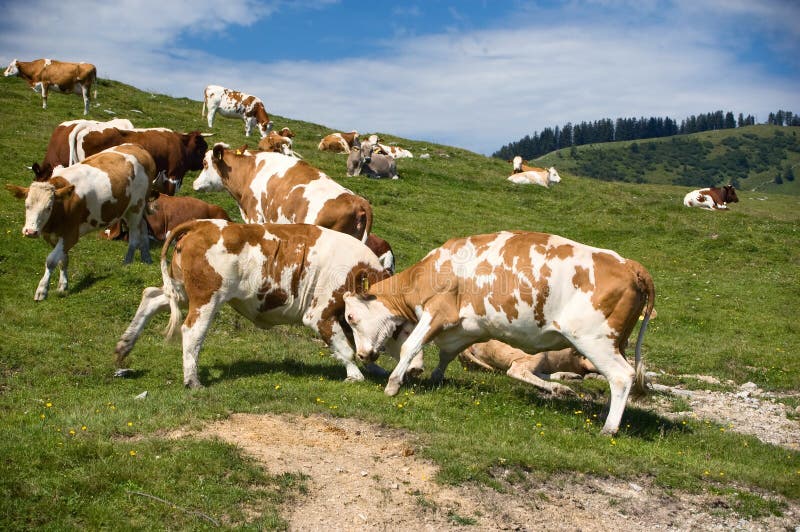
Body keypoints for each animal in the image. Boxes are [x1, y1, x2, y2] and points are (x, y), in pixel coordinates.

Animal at [5, 144, 156, 301]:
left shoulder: (71, 235)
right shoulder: (53, 236)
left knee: (134, 236)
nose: (30, 231)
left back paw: (127, 262)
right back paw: (146, 257)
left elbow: (51, 260)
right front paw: (63, 285)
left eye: (48, 207)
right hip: (125, 209)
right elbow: (63, 260)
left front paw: (42, 289)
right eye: (26, 205)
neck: (62, 207)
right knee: (143, 227)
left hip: (136, 207)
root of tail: (137, 147)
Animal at [114, 221, 393, 387]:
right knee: (191, 332)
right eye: (357, 317)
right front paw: (355, 374)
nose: (371, 354)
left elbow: (352, 342)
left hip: (182, 292)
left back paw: (124, 345)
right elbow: (345, 348)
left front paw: (374, 367)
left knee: (151, 297)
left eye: (392, 325)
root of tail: (201, 224)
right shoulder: (320, 314)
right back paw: (192, 381)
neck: (355, 269)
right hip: (206, 299)